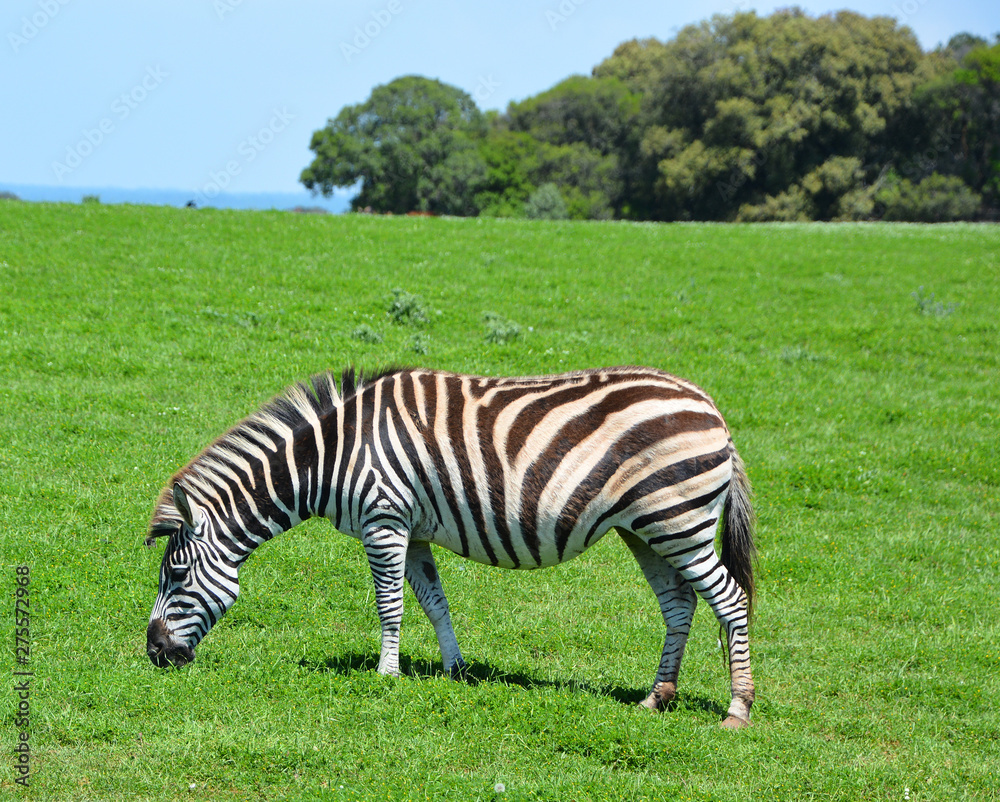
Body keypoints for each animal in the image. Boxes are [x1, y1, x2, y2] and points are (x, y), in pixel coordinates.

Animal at [145, 366, 757, 728]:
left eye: (175, 576)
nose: (153, 654)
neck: (331, 456)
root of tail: (712, 409)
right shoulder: (411, 529)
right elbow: (434, 601)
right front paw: (455, 668)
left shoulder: (384, 519)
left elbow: (390, 604)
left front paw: (386, 676)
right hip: (647, 528)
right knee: (680, 605)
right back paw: (658, 696)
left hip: (678, 519)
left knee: (730, 601)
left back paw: (737, 708)